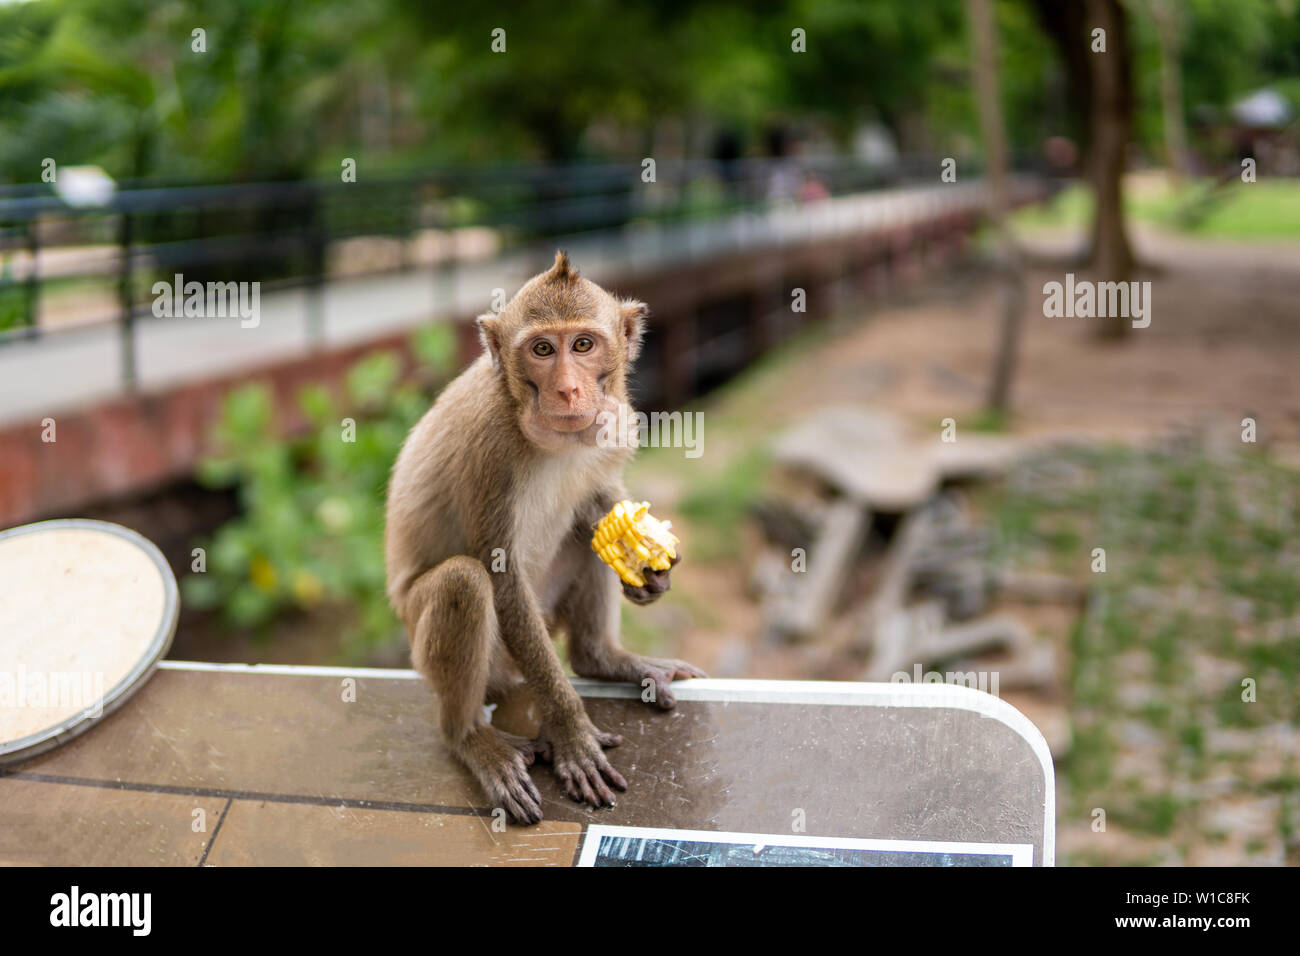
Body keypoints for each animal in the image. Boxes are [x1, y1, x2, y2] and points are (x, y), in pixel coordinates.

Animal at [385, 250, 706, 824]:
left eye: (582, 345)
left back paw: (604, 659)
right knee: (464, 583)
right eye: (541, 350)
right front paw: (570, 732)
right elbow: (501, 579)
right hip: (455, 649)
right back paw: (471, 738)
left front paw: (651, 574)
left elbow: (603, 507)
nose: (568, 390)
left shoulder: (617, 419)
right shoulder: (488, 445)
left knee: (584, 534)